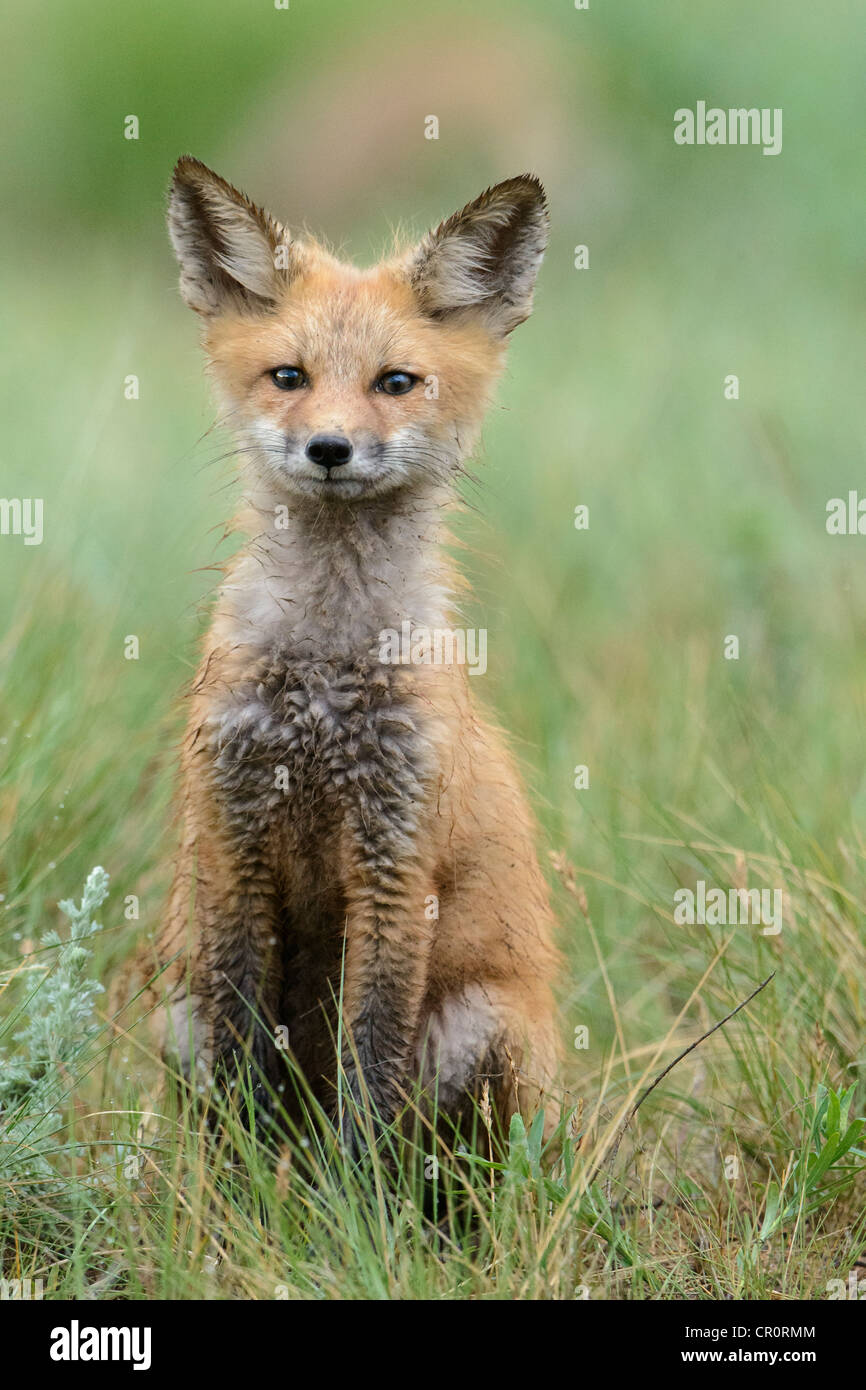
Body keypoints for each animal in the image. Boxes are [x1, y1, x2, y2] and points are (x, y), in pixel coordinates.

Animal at [149, 156, 561, 1154]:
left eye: (396, 381)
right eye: (288, 376)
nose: (328, 448)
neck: (322, 685)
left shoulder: (396, 862)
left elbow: (369, 1069)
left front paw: (352, 1192)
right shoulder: (231, 842)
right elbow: (242, 1059)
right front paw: (240, 1184)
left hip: (483, 1026)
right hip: (171, 1013)